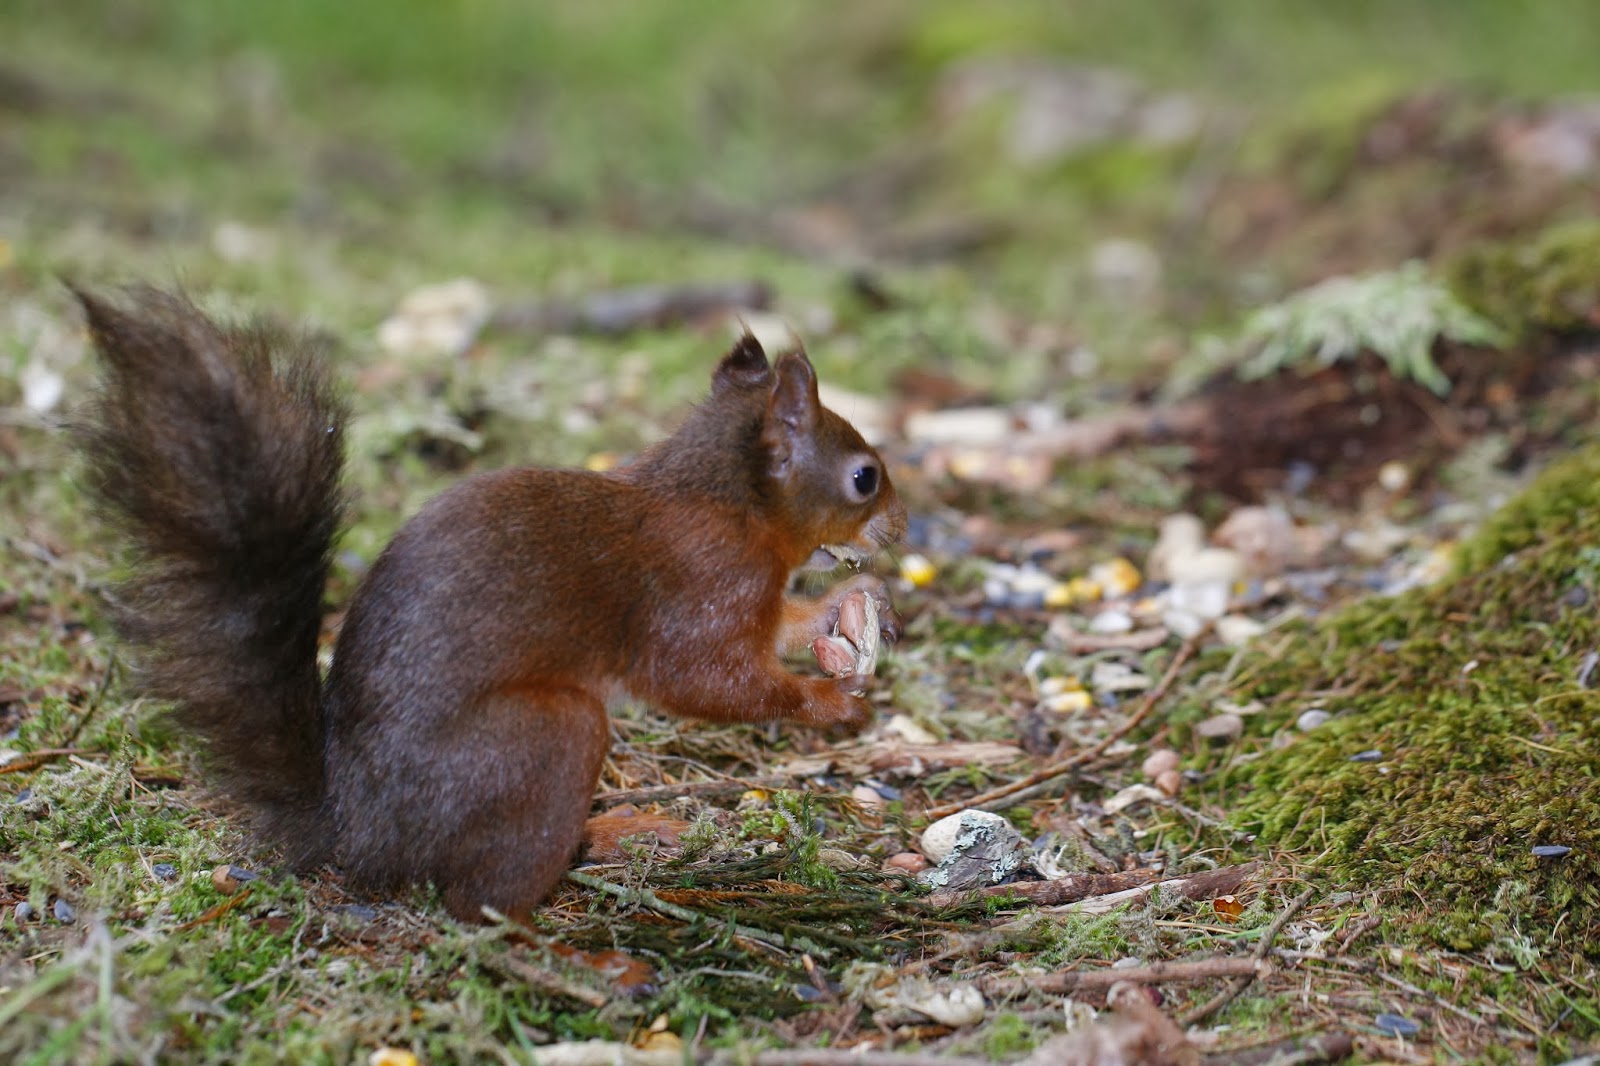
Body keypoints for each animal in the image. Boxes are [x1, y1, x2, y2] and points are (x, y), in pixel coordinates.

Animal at [74, 286, 905, 921]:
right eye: (864, 477)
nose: (901, 526)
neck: (725, 500)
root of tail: (358, 835)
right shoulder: (700, 586)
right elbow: (705, 680)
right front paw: (830, 705)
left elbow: (778, 629)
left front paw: (848, 607)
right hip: (546, 740)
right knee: (477, 903)